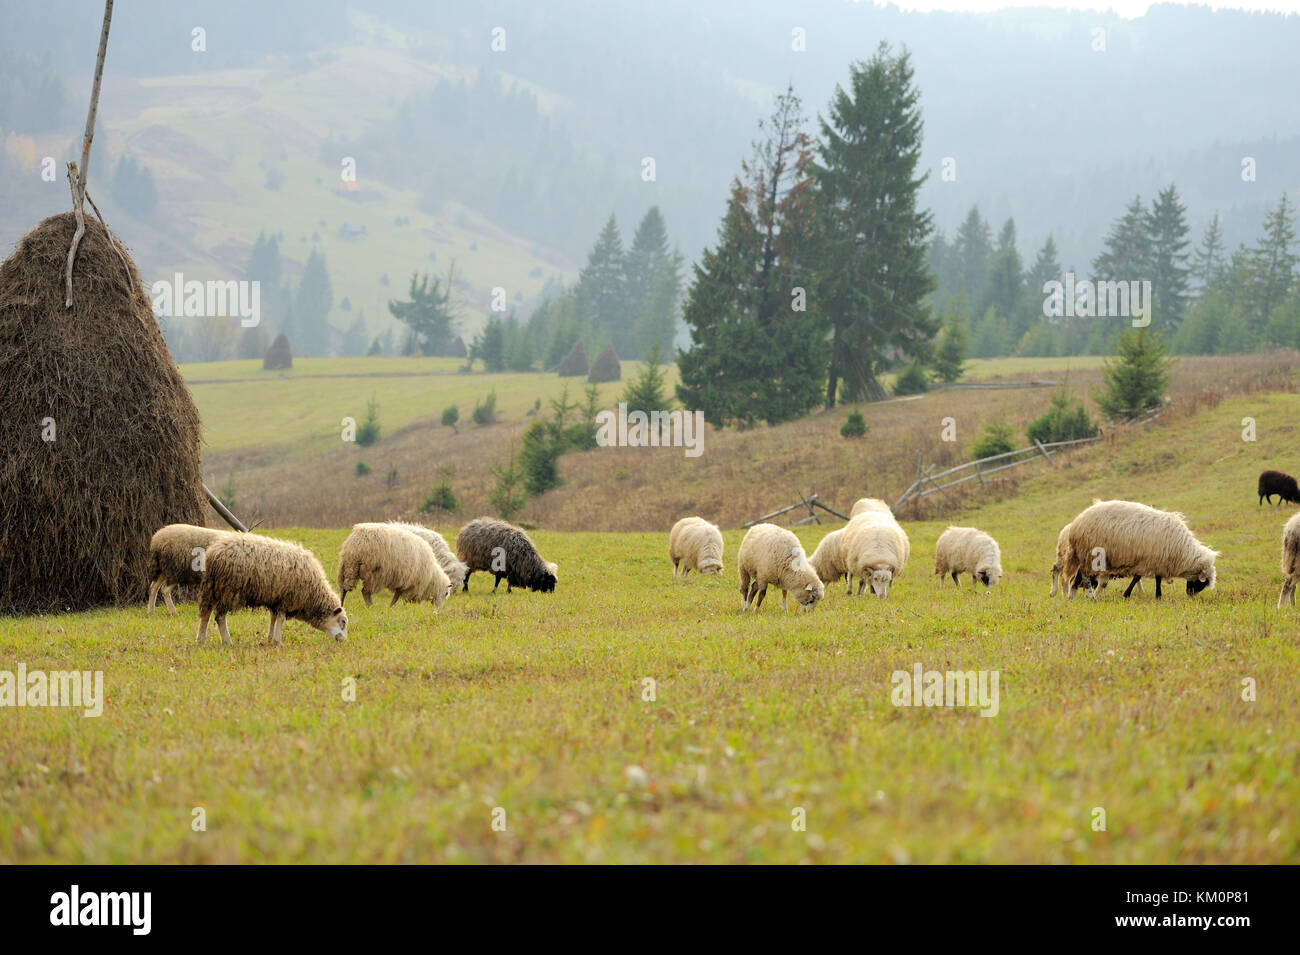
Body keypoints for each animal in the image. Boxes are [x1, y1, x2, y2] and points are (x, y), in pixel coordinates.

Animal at [197, 534, 347, 645]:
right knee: (220, 617)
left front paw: (269, 638)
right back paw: (227, 641)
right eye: (343, 621)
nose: (343, 641)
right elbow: (280, 619)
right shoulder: (287, 599)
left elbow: (273, 618)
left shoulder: (276, 599)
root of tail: (213, 553)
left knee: (206, 614)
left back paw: (201, 640)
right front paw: (277, 641)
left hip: (211, 588)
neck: (313, 593)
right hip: (229, 591)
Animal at [1061, 499, 1218, 600]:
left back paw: (1072, 594)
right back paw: (1088, 595)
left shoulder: (1156, 560)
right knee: (1085, 574)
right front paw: (1127, 594)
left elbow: (1156, 578)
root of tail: (1077, 523)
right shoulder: (1146, 560)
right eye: (1202, 582)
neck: (1182, 552)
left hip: (1086, 554)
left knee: (1079, 573)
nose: (1190, 595)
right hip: (1090, 553)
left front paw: (1158, 595)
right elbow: (1138, 577)